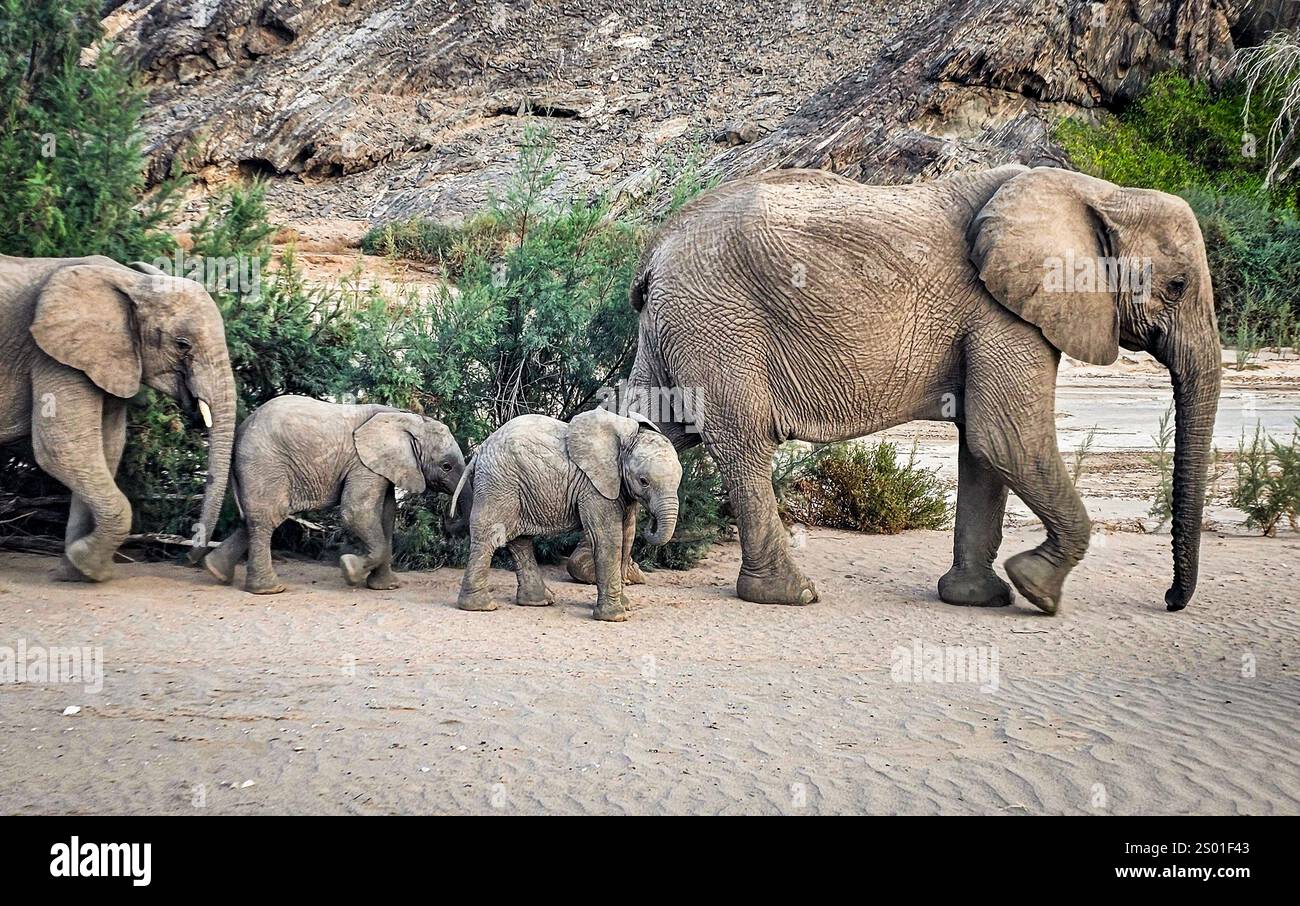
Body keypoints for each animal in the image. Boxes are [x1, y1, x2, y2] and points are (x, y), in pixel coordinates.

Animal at [0, 255, 236, 581]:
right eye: (182, 344)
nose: (188, 559)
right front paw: (89, 566)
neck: (132, 281)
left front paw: (75, 571)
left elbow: (106, 450)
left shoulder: (108, 357)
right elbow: (64, 449)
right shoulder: (52, 355)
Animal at [200, 395, 464, 594]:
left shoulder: (382, 467)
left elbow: (386, 515)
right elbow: (356, 511)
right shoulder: (363, 463)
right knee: (269, 515)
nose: (449, 518)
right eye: (446, 466)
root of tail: (242, 427)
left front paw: (385, 587)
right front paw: (349, 569)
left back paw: (216, 571)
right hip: (264, 463)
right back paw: (269, 589)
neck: (408, 419)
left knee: (256, 517)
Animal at [450, 408, 682, 622]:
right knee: (490, 534)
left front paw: (626, 605)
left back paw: (539, 601)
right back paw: (481, 606)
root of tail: (481, 448)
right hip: (498, 482)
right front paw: (615, 617)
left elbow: (627, 537)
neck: (625, 437)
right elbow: (607, 538)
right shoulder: (593, 486)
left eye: (679, 479)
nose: (651, 521)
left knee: (520, 540)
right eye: (644, 481)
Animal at [605, 165, 1220, 615]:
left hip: (679, 324)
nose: (1170, 601)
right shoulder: (1003, 313)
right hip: (717, 321)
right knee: (744, 442)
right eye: (1176, 286)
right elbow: (1009, 439)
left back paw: (615, 575)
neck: (1098, 192)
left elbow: (983, 448)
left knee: (657, 426)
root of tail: (656, 248)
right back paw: (789, 595)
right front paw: (1036, 590)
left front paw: (977, 599)